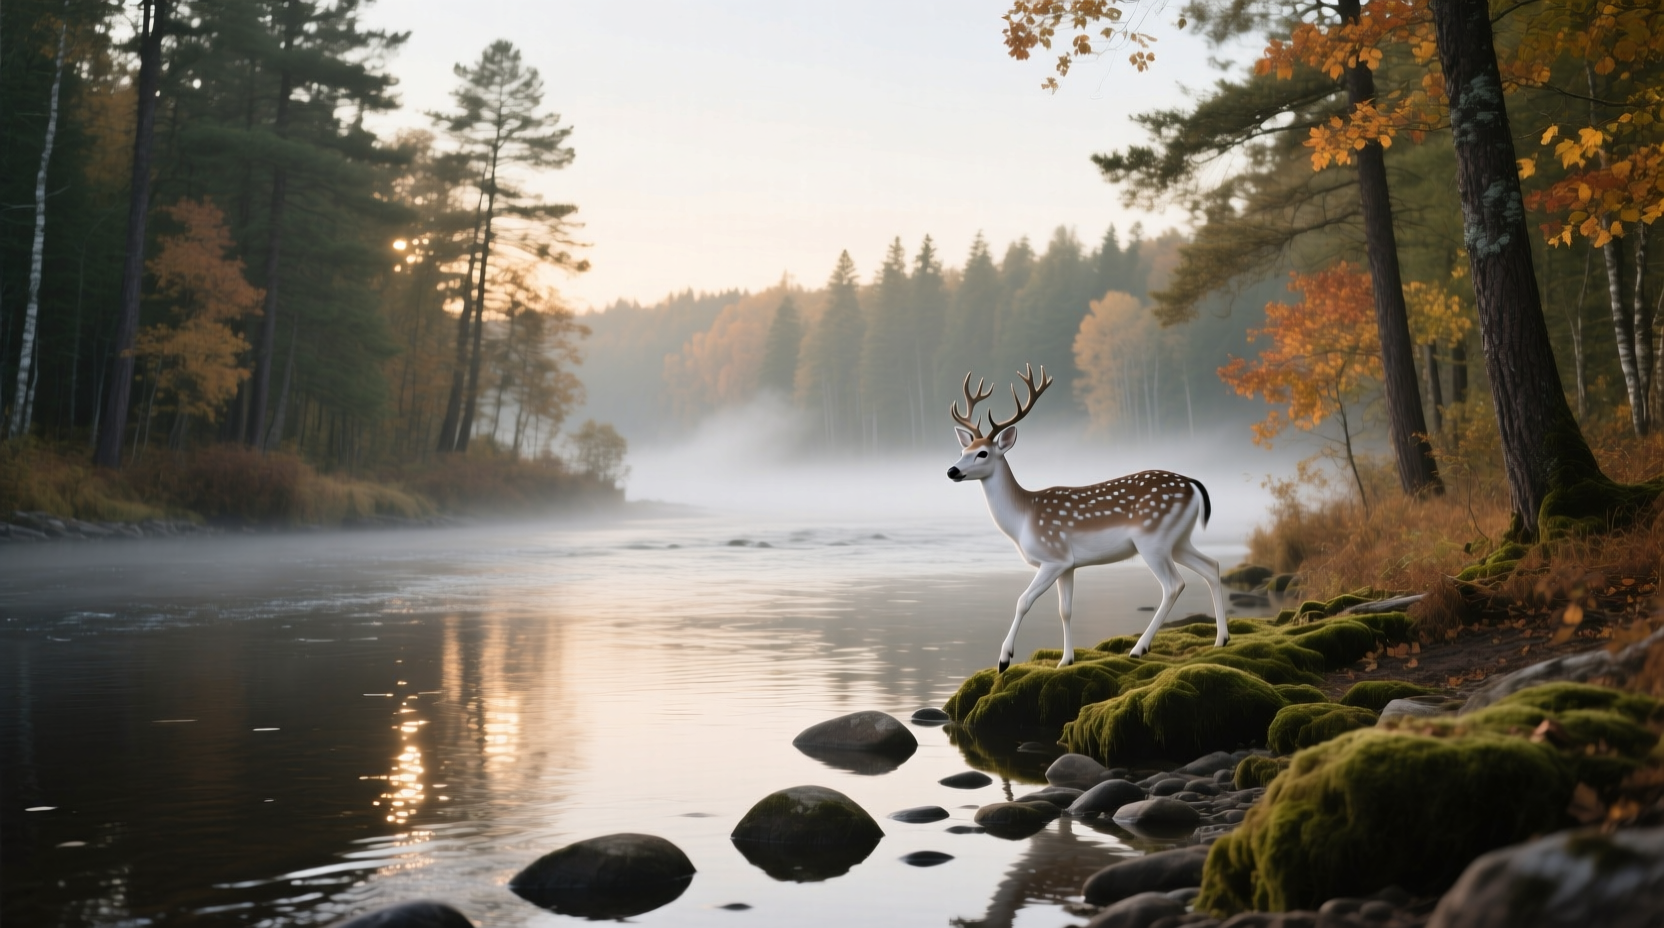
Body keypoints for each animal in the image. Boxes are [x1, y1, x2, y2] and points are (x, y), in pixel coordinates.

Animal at [945, 365, 1230, 671]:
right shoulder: (1068, 565)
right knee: (1211, 566)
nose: (952, 471)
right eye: (962, 451)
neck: (1024, 519)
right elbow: (1065, 610)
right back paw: (1221, 640)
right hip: (1178, 540)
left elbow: (1023, 601)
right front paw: (1066, 660)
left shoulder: (1053, 557)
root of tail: (1193, 484)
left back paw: (1138, 649)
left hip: (1153, 540)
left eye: (982, 453)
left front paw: (1004, 659)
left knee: (1174, 584)